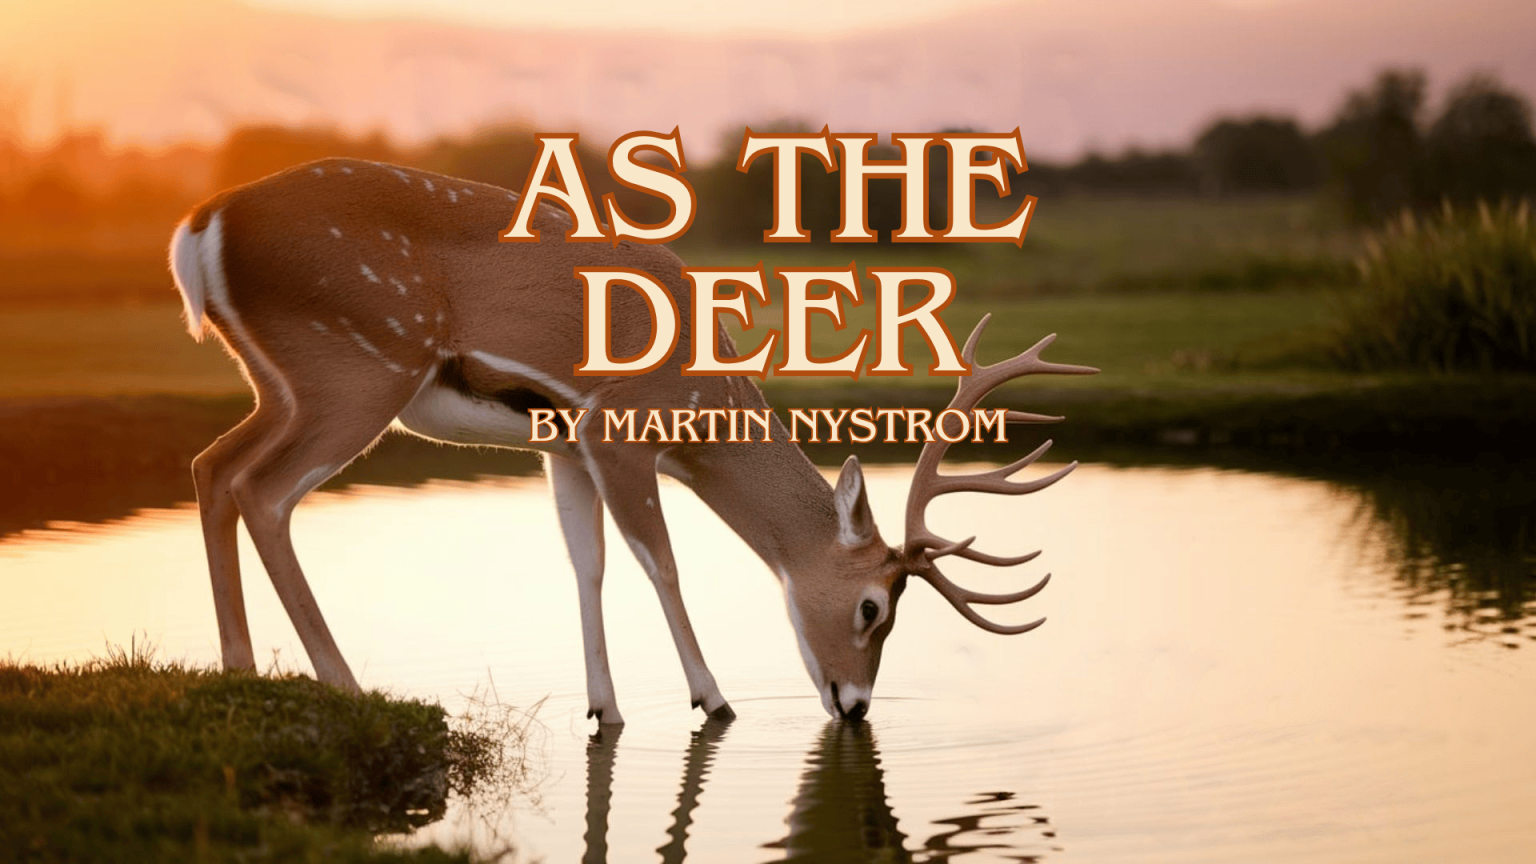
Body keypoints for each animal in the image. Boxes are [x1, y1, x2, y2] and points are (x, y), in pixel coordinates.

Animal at [167, 157, 1095, 725]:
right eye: (873, 606)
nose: (856, 704)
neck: (704, 401)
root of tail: (198, 228)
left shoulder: (563, 449)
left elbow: (588, 563)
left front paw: (603, 708)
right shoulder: (614, 430)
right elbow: (660, 561)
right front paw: (713, 700)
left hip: (285, 381)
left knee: (212, 466)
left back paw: (240, 668)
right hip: (359, 367)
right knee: (262, 491)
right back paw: (345, 682)